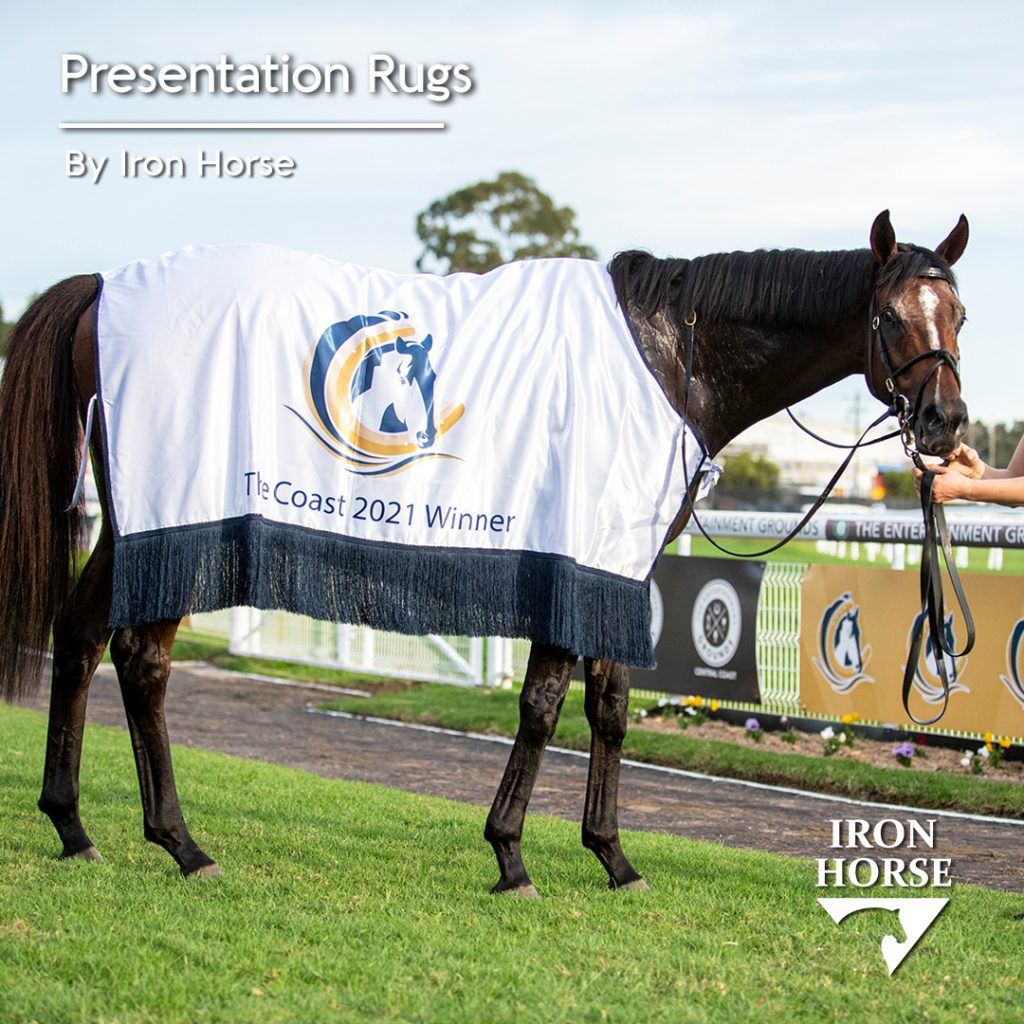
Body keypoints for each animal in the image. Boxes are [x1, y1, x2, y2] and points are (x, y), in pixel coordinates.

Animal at [0, 210, 969, 894]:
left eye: (958, 310)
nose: (945, 422)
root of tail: (105, 286)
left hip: (132, 522)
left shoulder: (621, 561)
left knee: (81, 638)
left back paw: (75, 827)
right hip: (177, 521)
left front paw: (613, 858)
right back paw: (181, 843)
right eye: (890, 314)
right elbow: (543, 703)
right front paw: (511, 857)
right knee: (141, 659)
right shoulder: (576, 556)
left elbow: (609, 706)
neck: (670, 355)